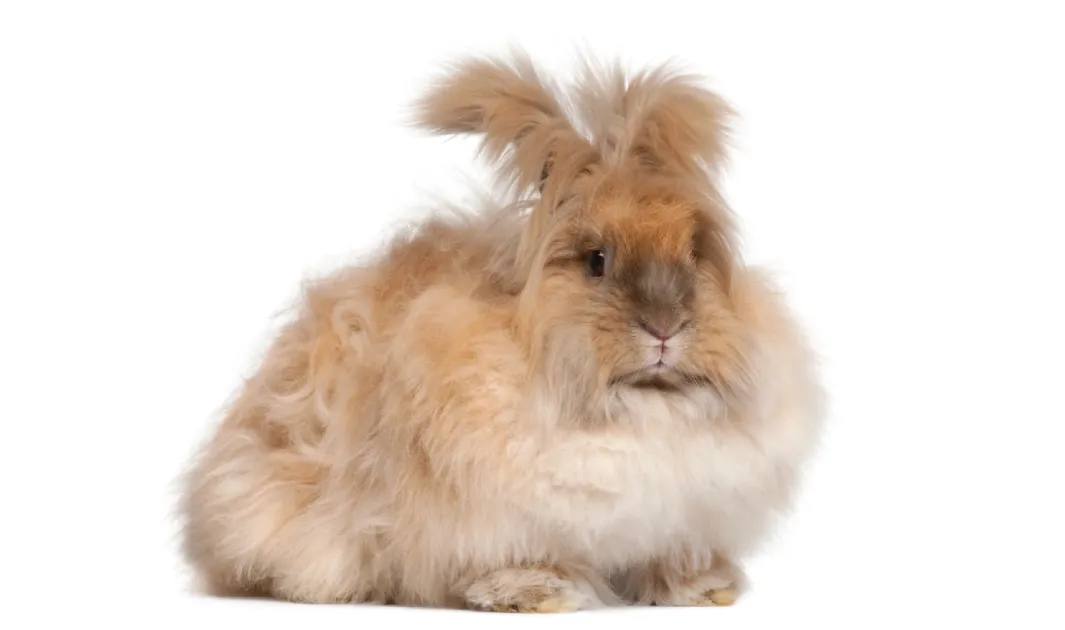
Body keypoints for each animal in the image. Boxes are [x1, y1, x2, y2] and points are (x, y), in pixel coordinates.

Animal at [178, 51, 826, 612]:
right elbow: (510, 555)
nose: (665, 327)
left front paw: (703, 587)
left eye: (693, 253)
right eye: (596, 260)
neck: (642, 414)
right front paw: (542, 594)